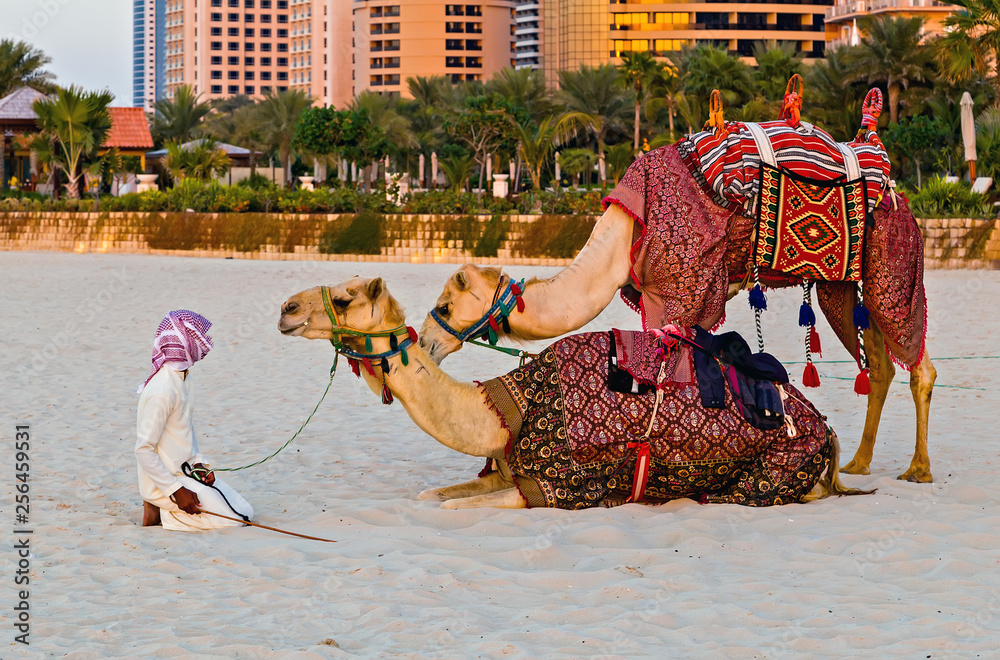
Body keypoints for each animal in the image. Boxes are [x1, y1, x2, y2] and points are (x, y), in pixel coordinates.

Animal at [279, 277, 867, 509]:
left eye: (347, 296)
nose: (286, 308)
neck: (507, 409)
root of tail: (827, 432)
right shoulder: (507, 470)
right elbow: (431, 498)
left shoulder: (559, 484)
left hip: (770, 471)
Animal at [418, 200, 937, 484]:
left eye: (444, 304)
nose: (424, 342)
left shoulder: (686, 285)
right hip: (840, 286)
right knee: (880, 365)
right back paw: (860, 463)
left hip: (890, 259)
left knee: (916, 358)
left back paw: (919, 469)